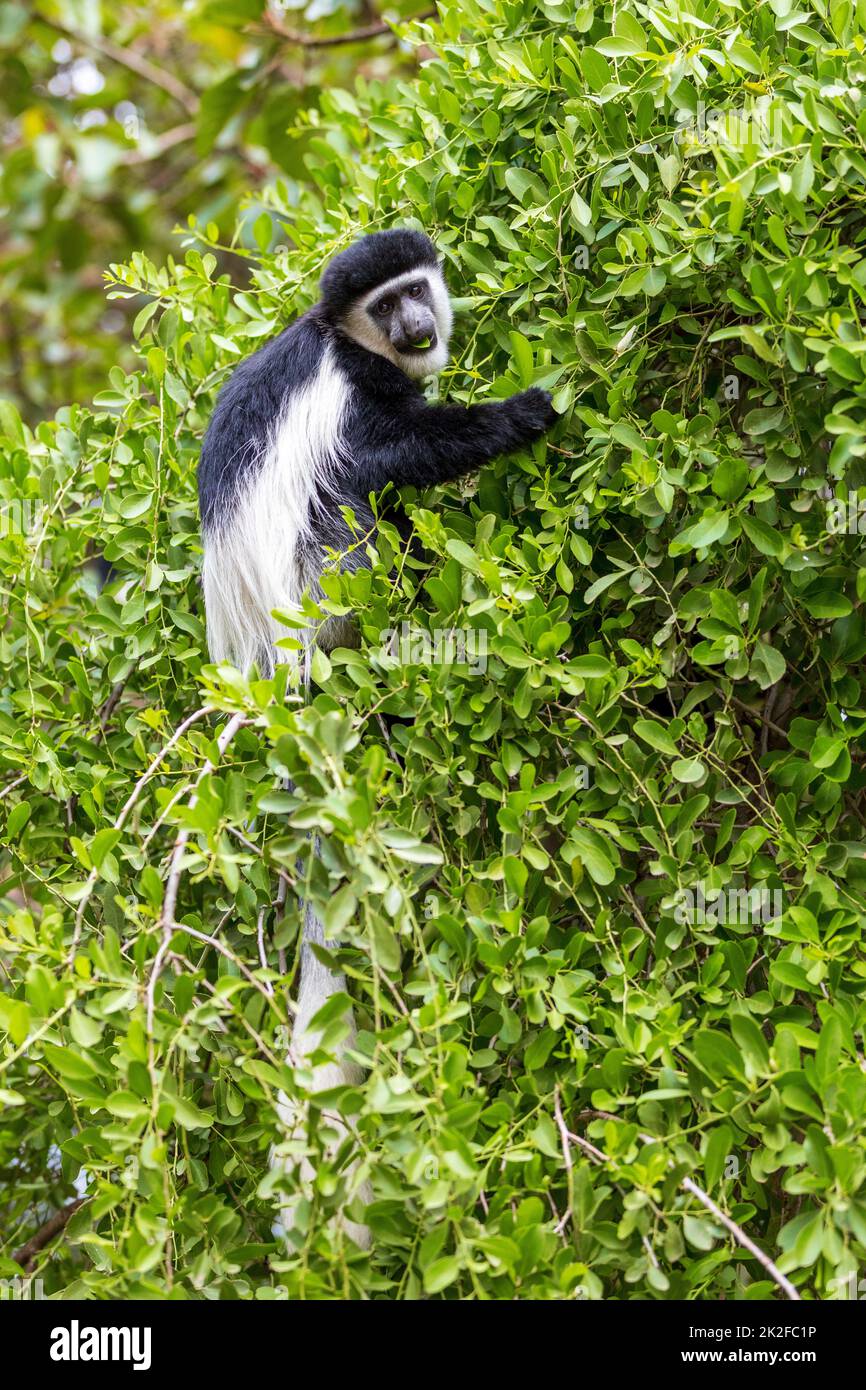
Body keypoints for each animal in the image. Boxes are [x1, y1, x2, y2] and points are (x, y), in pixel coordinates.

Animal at [197, 228, 557, 1245]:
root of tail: (273, 687)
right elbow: (396, 449)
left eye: (415, 289)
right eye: (386, 304)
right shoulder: (356, 393)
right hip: (324, 582)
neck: (342, 339)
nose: (415, 326)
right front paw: (526, 411)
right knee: (351, 495)